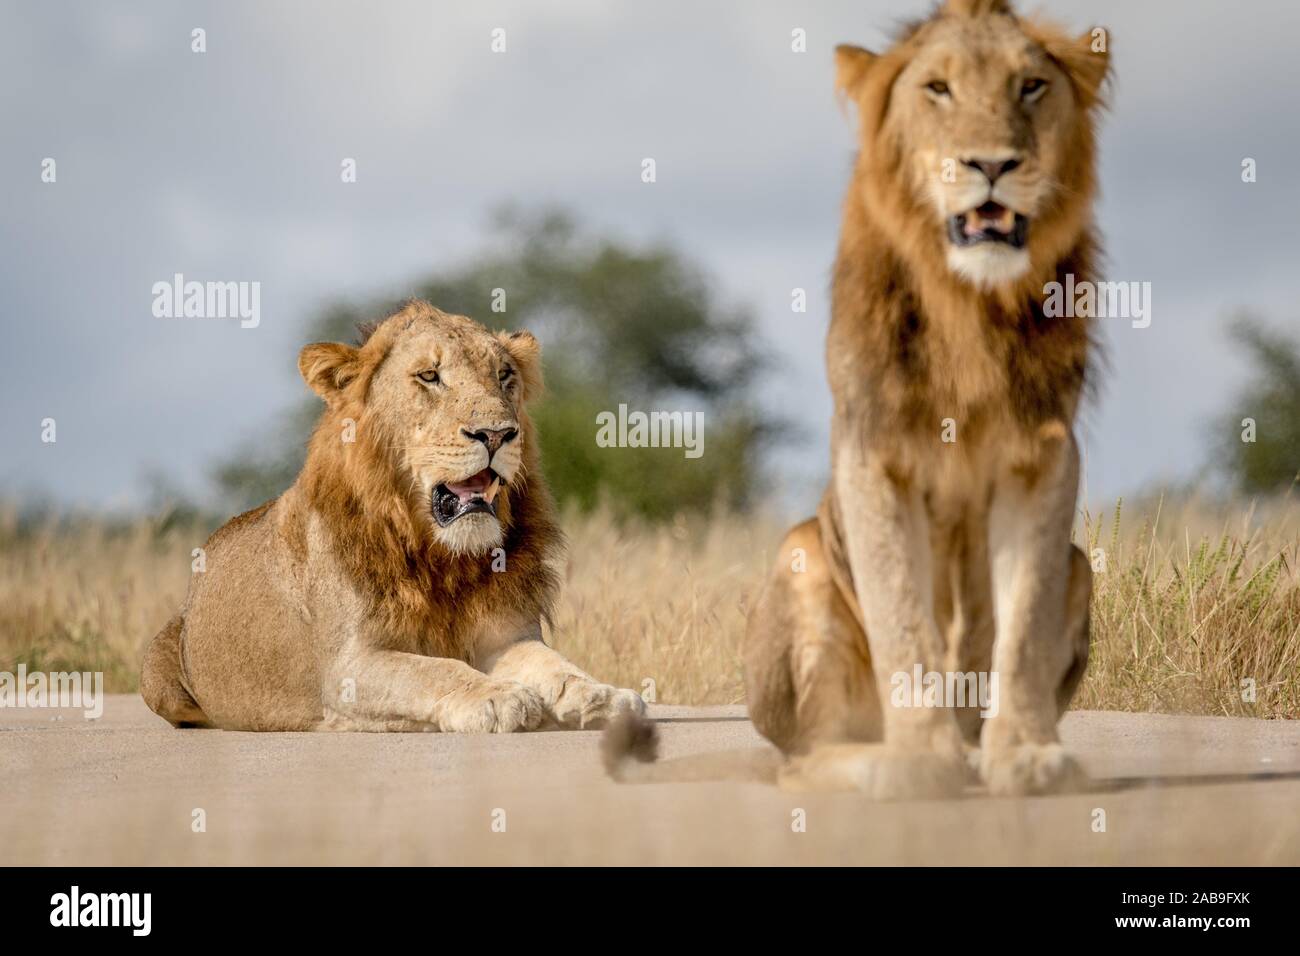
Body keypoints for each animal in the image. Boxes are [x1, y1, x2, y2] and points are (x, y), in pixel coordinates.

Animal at [141, 301, 645, 733]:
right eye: (430, 376)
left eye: (504, 375)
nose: (498, 434)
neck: (442, 556)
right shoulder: (348, 666)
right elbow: (433, 671)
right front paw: (495, 696)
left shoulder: (507, 634)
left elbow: (558, 667)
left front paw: (603, 696)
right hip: (156, 673)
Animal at [606, 0, 1109, 797]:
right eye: (937, 89)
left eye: (1031, 87)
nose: (991, 165)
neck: (967, 302)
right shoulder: (873, 454)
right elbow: (902, 612)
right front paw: (920, 761)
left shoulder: (1043, 454)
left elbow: (1023, 621)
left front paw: (1027, 755)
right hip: (801, 554)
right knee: (799, 760)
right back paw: (880, 765)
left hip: (1082, 566)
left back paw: (973, 753)